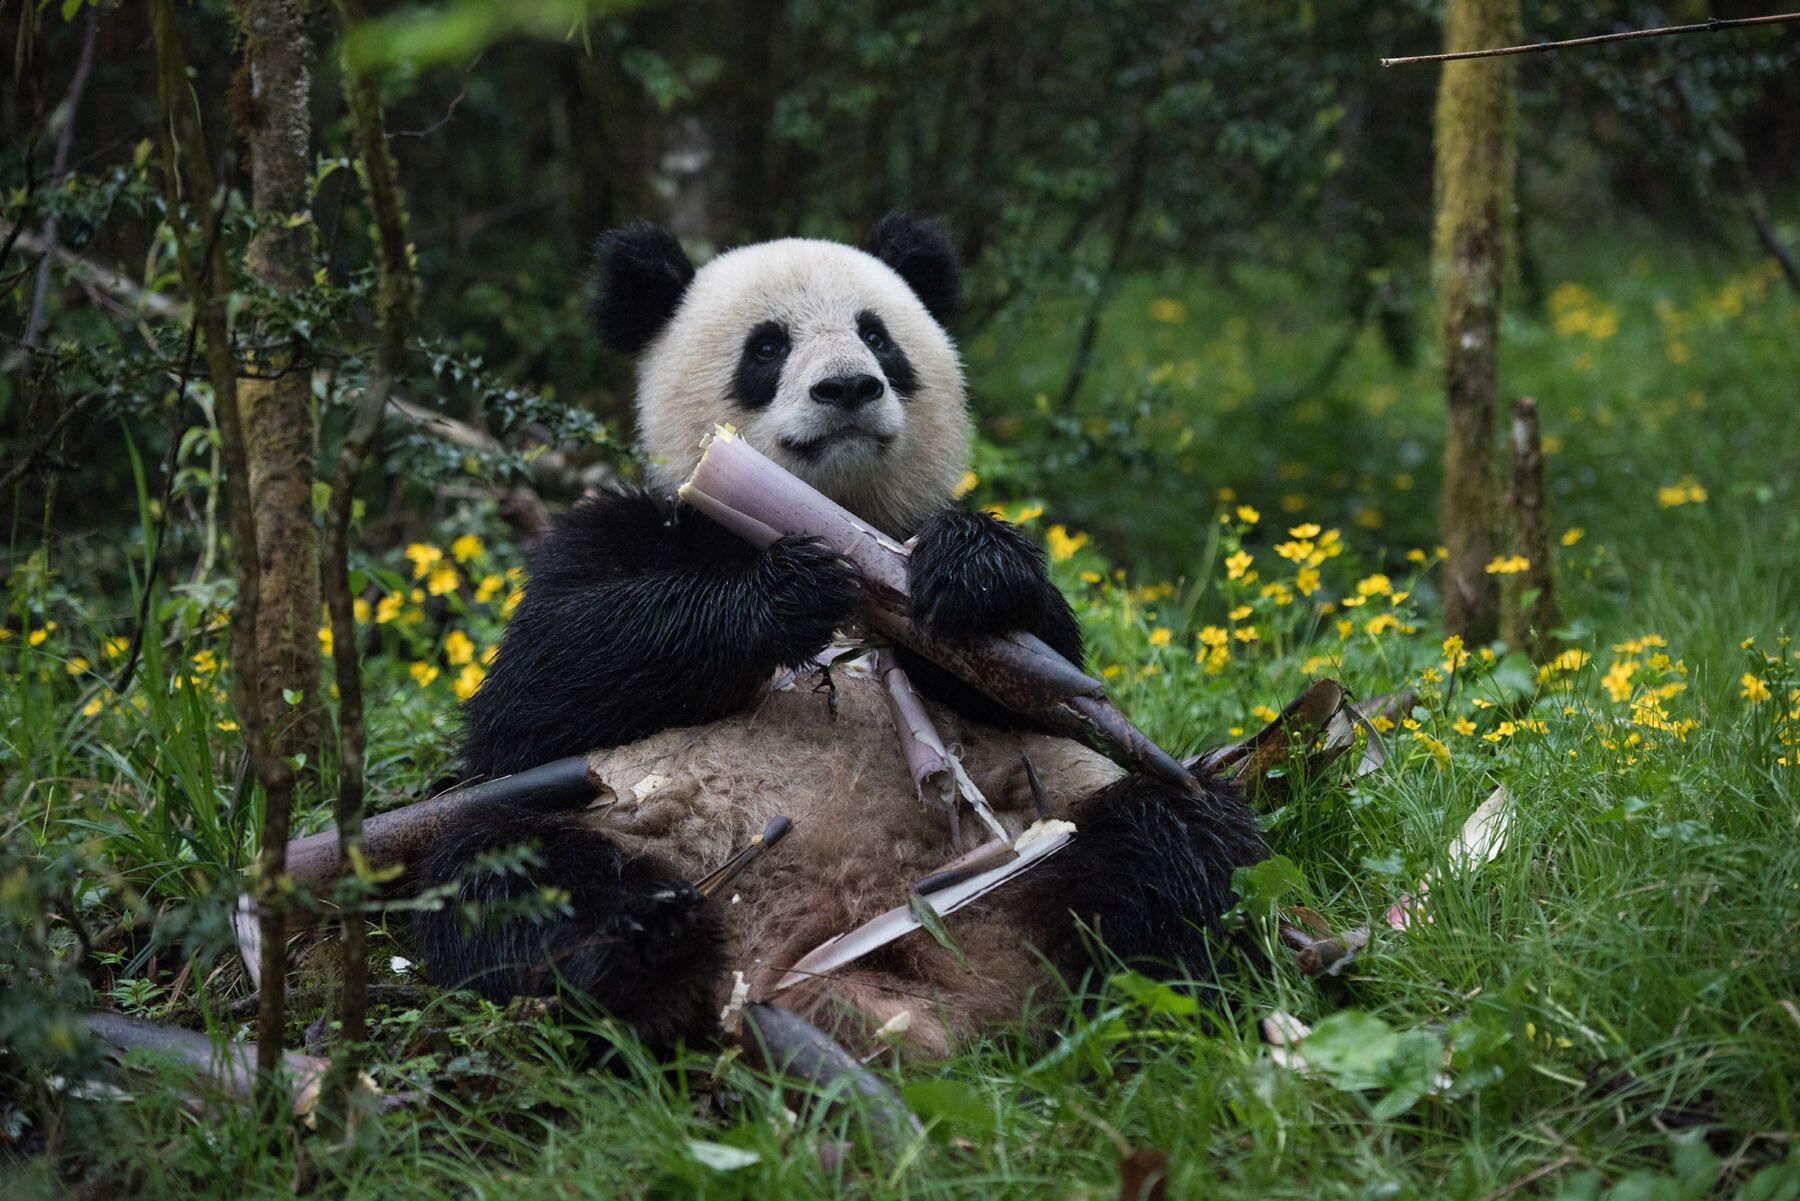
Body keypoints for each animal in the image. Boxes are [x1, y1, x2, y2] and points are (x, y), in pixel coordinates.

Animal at [413, 215, 1267, 1058]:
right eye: (766, 347)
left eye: (877, 335)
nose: (849, 387)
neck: (824, 506)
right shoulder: (624, 529)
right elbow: (533, 692)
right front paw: (784, 590)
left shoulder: (914, 545)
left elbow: (1043, 682)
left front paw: (975, 569)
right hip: (618, 821)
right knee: (505, 869)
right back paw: (645, 952)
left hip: (1046, 824)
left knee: (1174, 836)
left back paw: (1157, 1003)